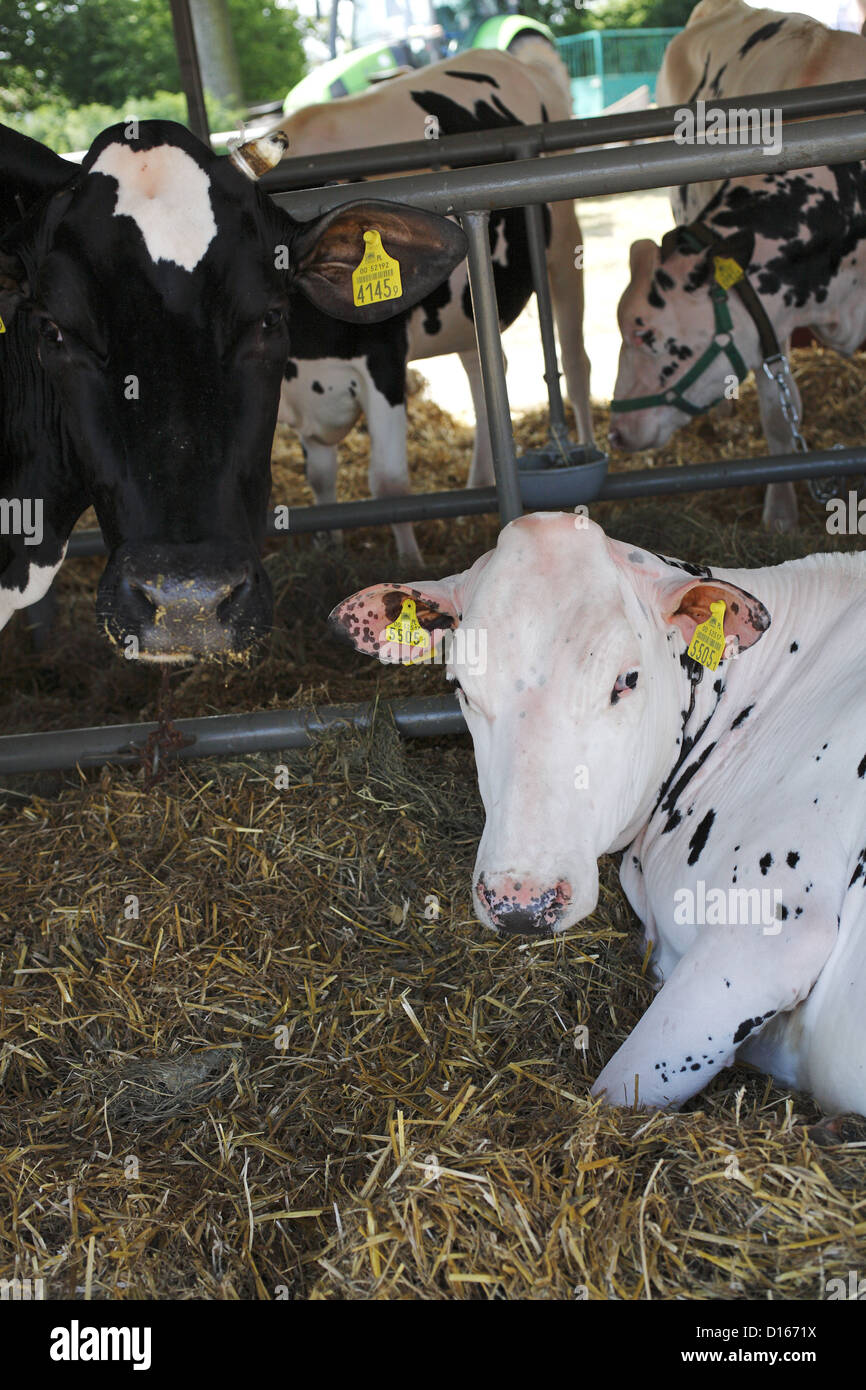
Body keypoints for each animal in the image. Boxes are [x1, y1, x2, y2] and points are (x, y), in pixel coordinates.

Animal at [270, 49, 593, 564]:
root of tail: (514, 57)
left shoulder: (383, 357)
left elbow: (389, 484)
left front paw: (410, 563)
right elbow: (319, 477)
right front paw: (329, 548)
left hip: (563, 246)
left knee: (576, 361)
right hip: (467, 307)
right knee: (486, 378)